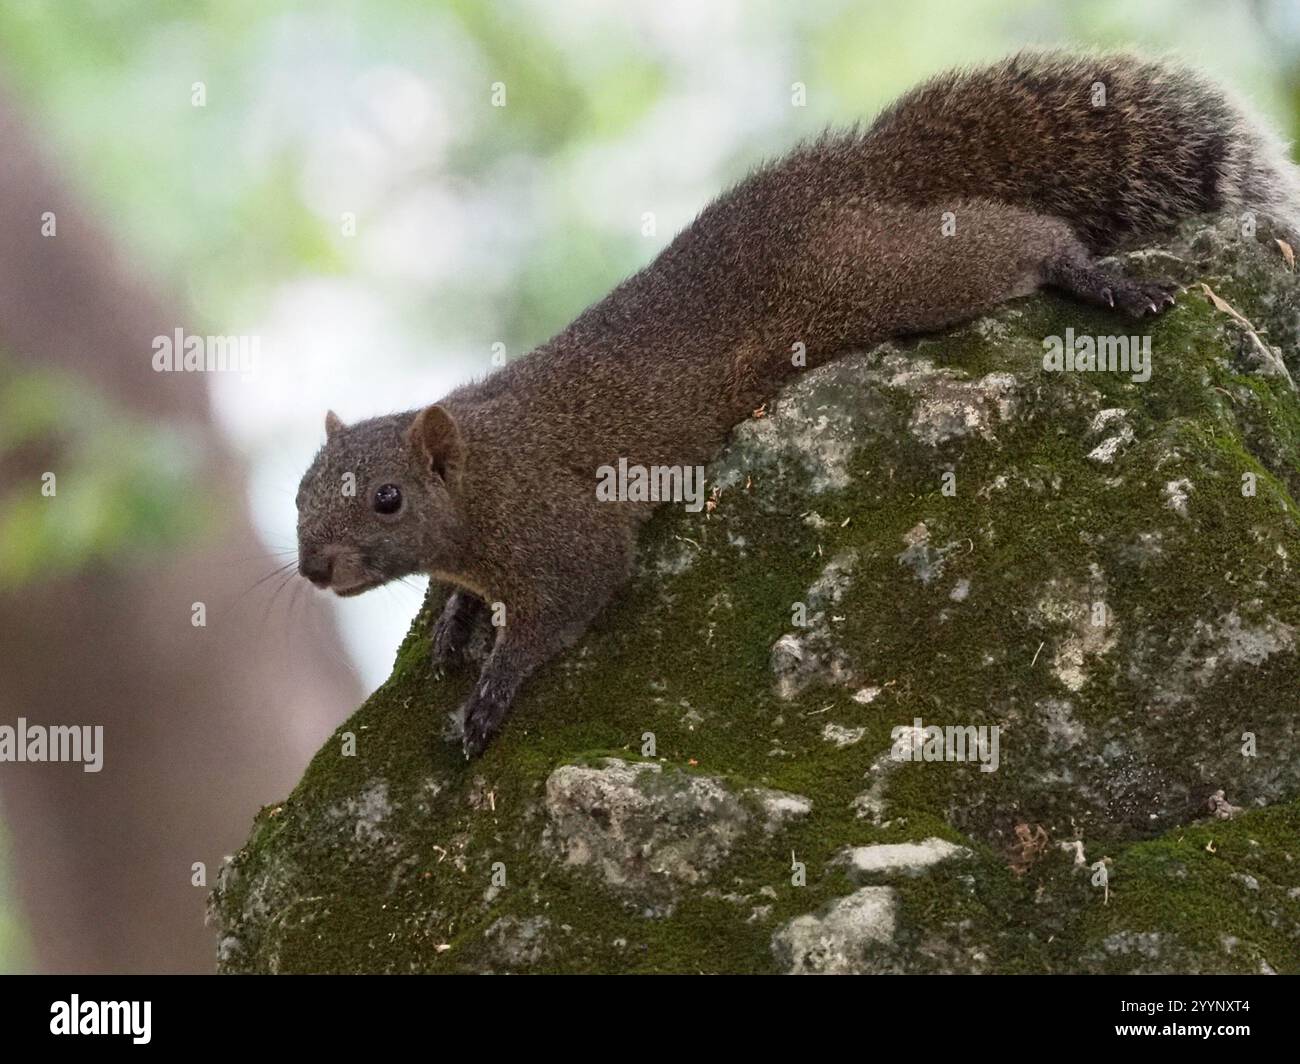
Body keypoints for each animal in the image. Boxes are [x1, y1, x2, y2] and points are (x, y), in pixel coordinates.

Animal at [296, 51, 1300, 757]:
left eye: (387, 498)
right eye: (300, 495)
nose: (310, 568)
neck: (478, 471)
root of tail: (854, 173)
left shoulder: (560, 524)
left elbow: (573, 595)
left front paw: (489, 693)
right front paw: (455, 622)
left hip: (875, 276)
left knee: (1019, 243)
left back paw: (1101, 281)